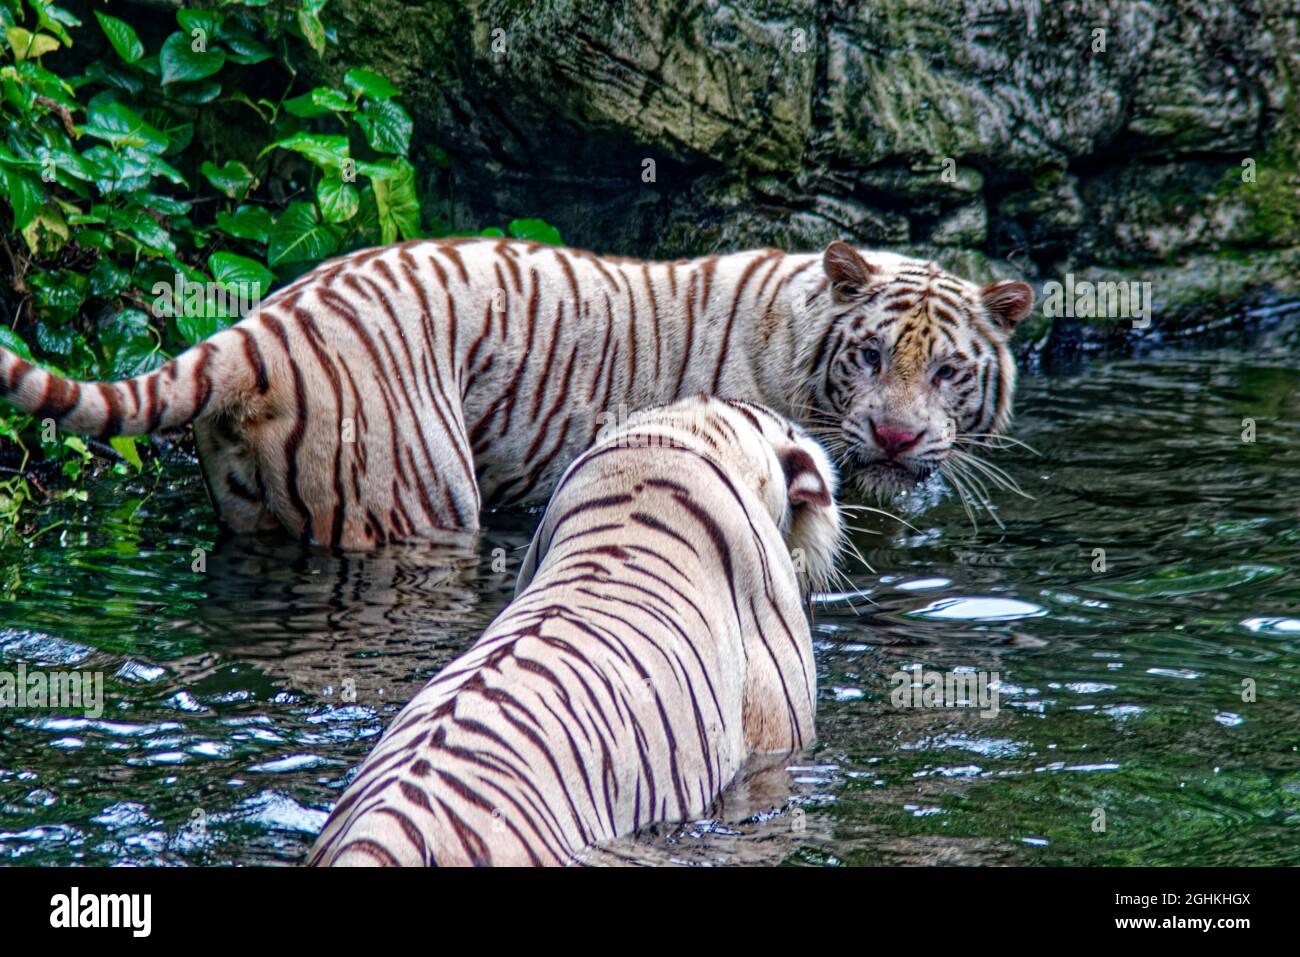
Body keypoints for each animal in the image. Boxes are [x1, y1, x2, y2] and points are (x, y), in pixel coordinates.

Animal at [0, 238, 1032, 547]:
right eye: (871, 357)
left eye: (947, 370)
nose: (897, 438)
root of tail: (263, 325)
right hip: (414, 498)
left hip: (256, 512)